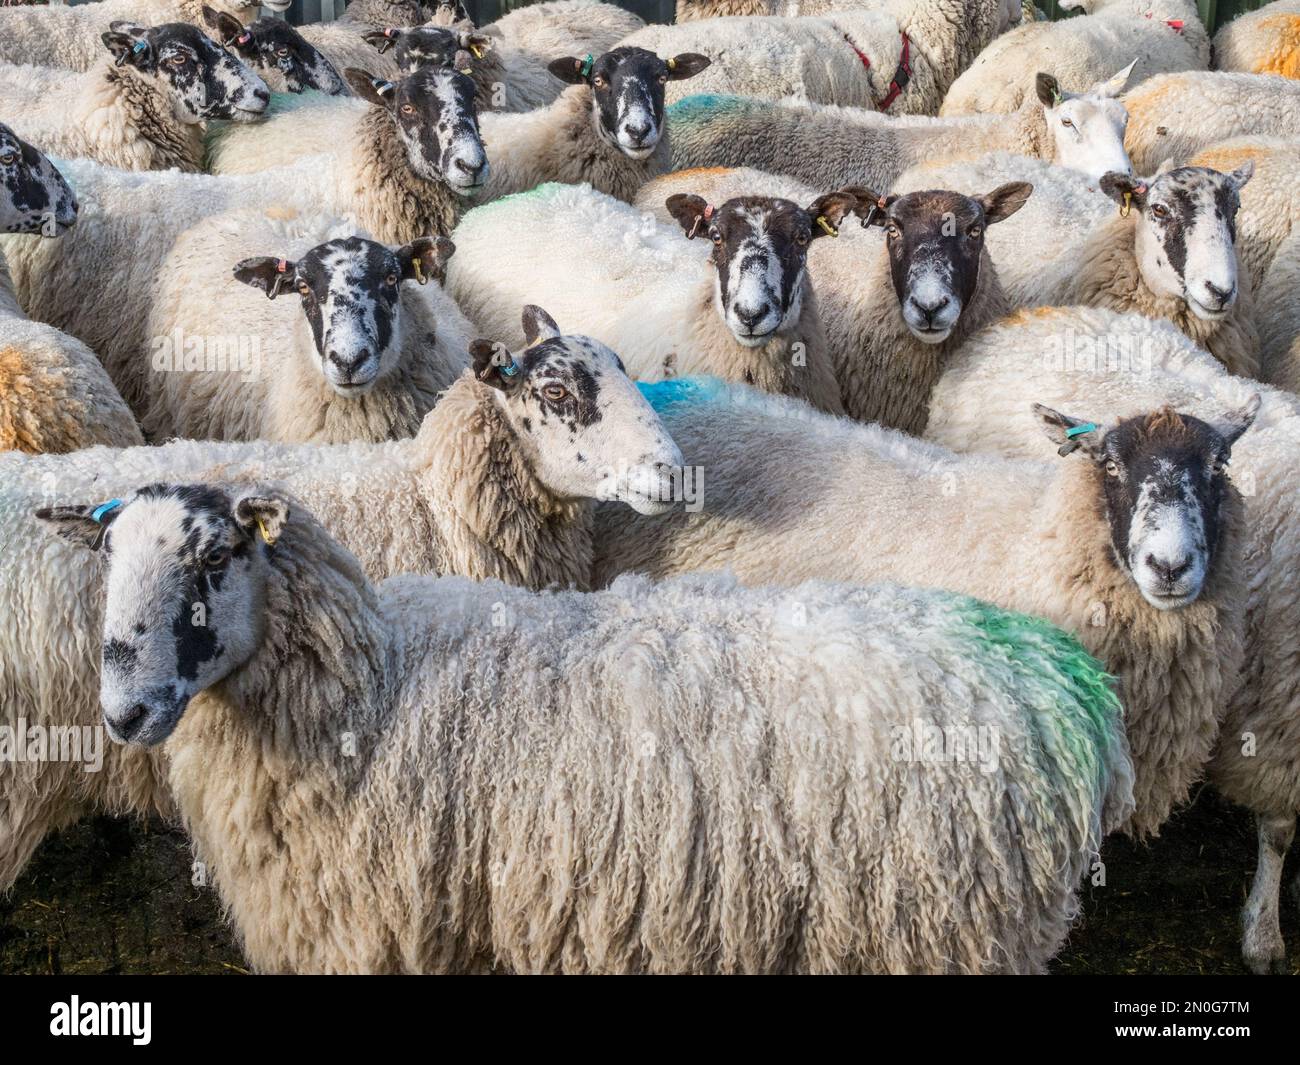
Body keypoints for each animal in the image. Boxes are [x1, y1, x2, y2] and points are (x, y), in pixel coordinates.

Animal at [35, 481, 1134, 973]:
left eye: (217, 556)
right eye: (109, 557)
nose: (124, 710)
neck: (370, 691)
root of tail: (1067, 686)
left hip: (948, 930)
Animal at [919, 303, 1300, 973]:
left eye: (1219, 468)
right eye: (1116, 469)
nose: (1169, 567)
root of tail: (1019, 318)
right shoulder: (1279, 715)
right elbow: (1278, 830)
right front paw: (1264, 936)